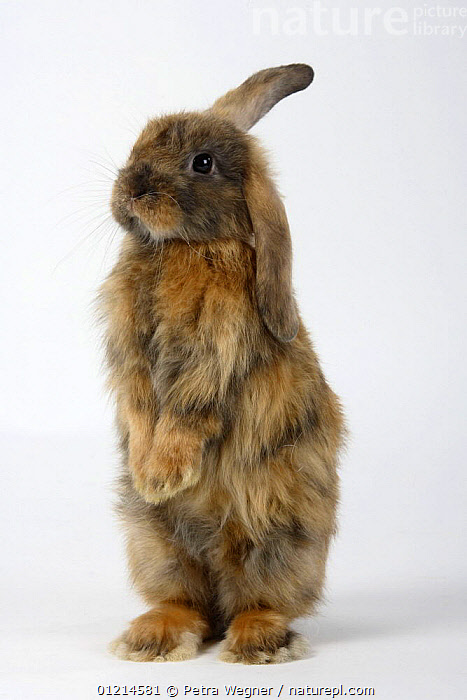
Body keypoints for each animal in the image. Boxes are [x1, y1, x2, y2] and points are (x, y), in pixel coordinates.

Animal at [100, 63, 345, 665]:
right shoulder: (130, 359)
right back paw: (153, 638)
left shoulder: (213, 351)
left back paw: (259, 643)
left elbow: (189, 409)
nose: (132, 190)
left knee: (262, 599)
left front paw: (162, 474)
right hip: (154, 541)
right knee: (187, 601)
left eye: (203, 163)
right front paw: (146, 471)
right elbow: (139, 403)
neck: (182, 245)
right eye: (141, 139)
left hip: (278, 531)